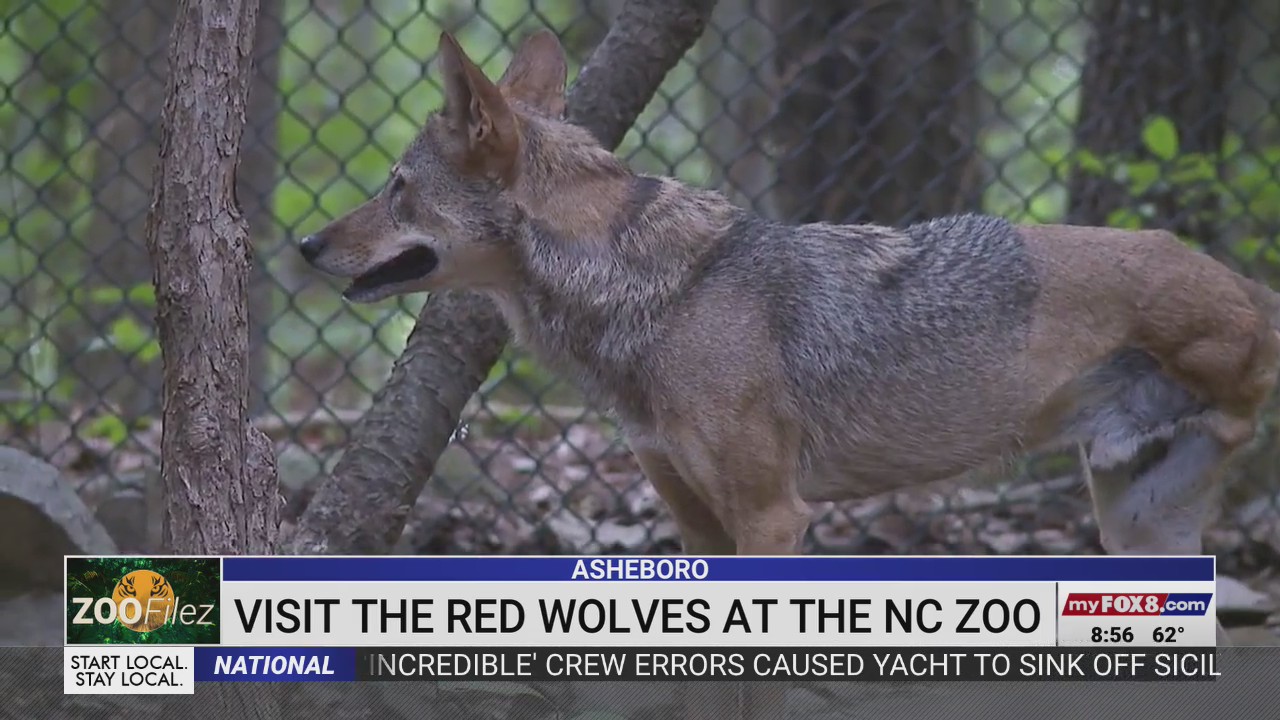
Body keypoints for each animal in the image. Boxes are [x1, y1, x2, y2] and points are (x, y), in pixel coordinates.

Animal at [299, 29, 1279, 714]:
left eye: (394, 188)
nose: (305, 244)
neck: (654, 297)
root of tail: (1242, 287)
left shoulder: (773, 521)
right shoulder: (698, 531)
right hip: (1139, 540)